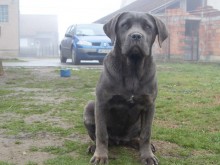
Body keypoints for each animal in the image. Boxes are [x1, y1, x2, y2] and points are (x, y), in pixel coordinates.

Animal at [83, 11, 168, 165]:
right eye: (124, 25)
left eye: (148, 26)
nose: (136, 36)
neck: (132, 69)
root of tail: (120, 140)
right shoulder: (102, 103)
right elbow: (101, 133)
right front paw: (100, 156)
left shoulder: (149, 105)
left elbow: (146, 134)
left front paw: (147, 156)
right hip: (89, 107)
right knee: (100, 136)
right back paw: (93, 147)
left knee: (137, 137)